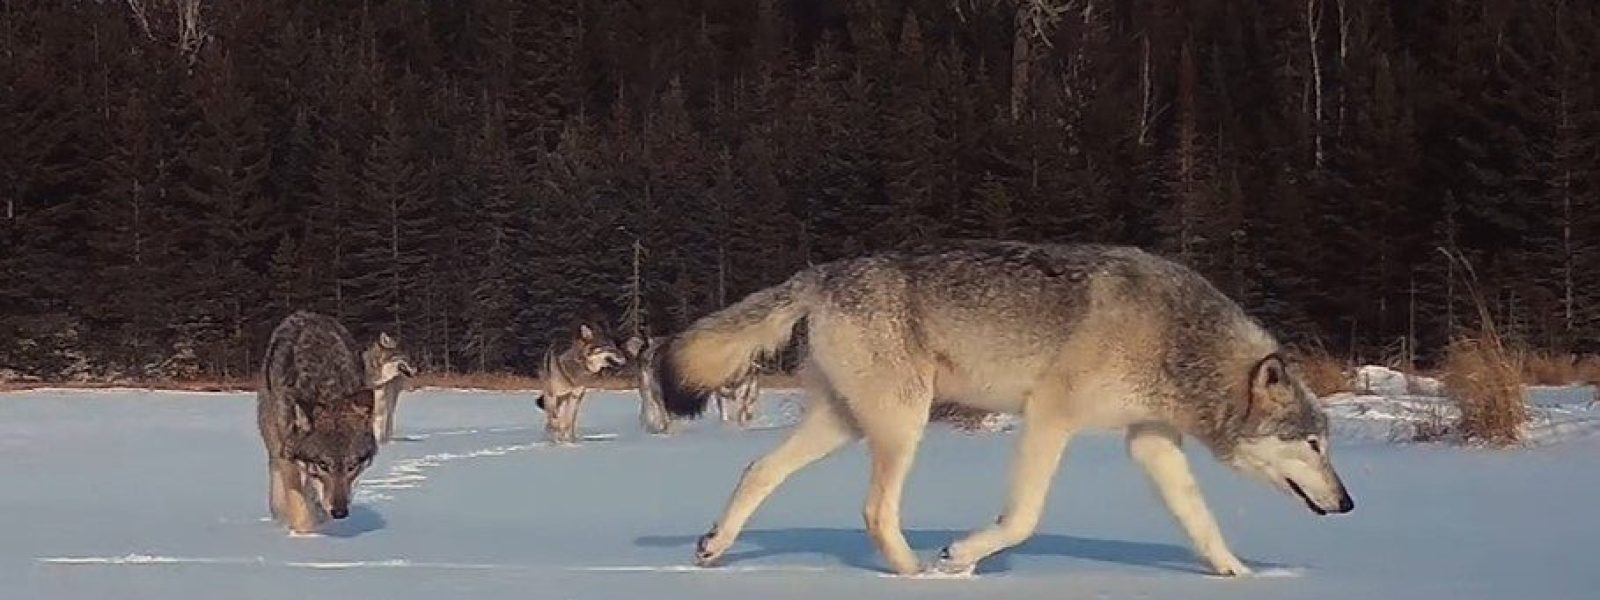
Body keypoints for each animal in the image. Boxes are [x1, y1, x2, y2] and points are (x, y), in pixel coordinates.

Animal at [257, 311, 379, 534]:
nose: (340, 513)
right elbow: (300, 510)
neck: (326, 385)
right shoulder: (288, 453)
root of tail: (304, 313)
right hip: (272, 435)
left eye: (352, 466)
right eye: (323, 464)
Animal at [654, 242, 1354, 577]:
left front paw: (1239, 574)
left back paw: (714, 547)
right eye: (1313, 444)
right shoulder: (1050, 416)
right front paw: (961, 556)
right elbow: (1022, 518)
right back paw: (916, 573)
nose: (1349, 504)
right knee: (875, 510)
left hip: (846, 423)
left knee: (757, 470)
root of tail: (820, 274)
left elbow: (1202, 523)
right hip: (904, 423)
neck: (1176, 341)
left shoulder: (1149, 440)